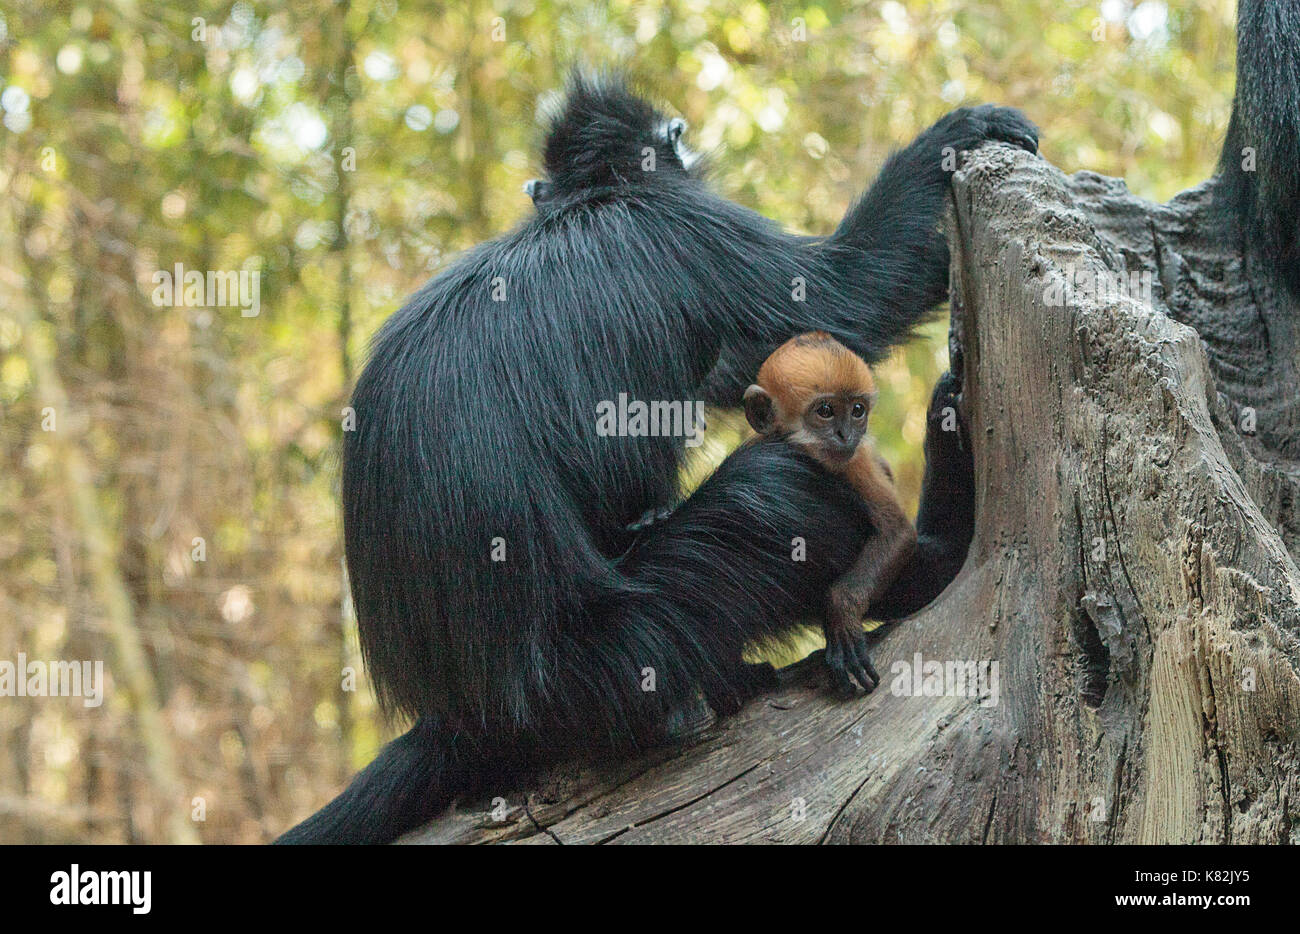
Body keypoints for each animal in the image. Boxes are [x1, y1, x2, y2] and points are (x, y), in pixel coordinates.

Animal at [742, 333, 916, 695]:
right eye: (825, 411)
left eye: (857, 411)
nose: (845, 434)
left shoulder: (855, 462)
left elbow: (897, 532)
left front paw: (841, 613)